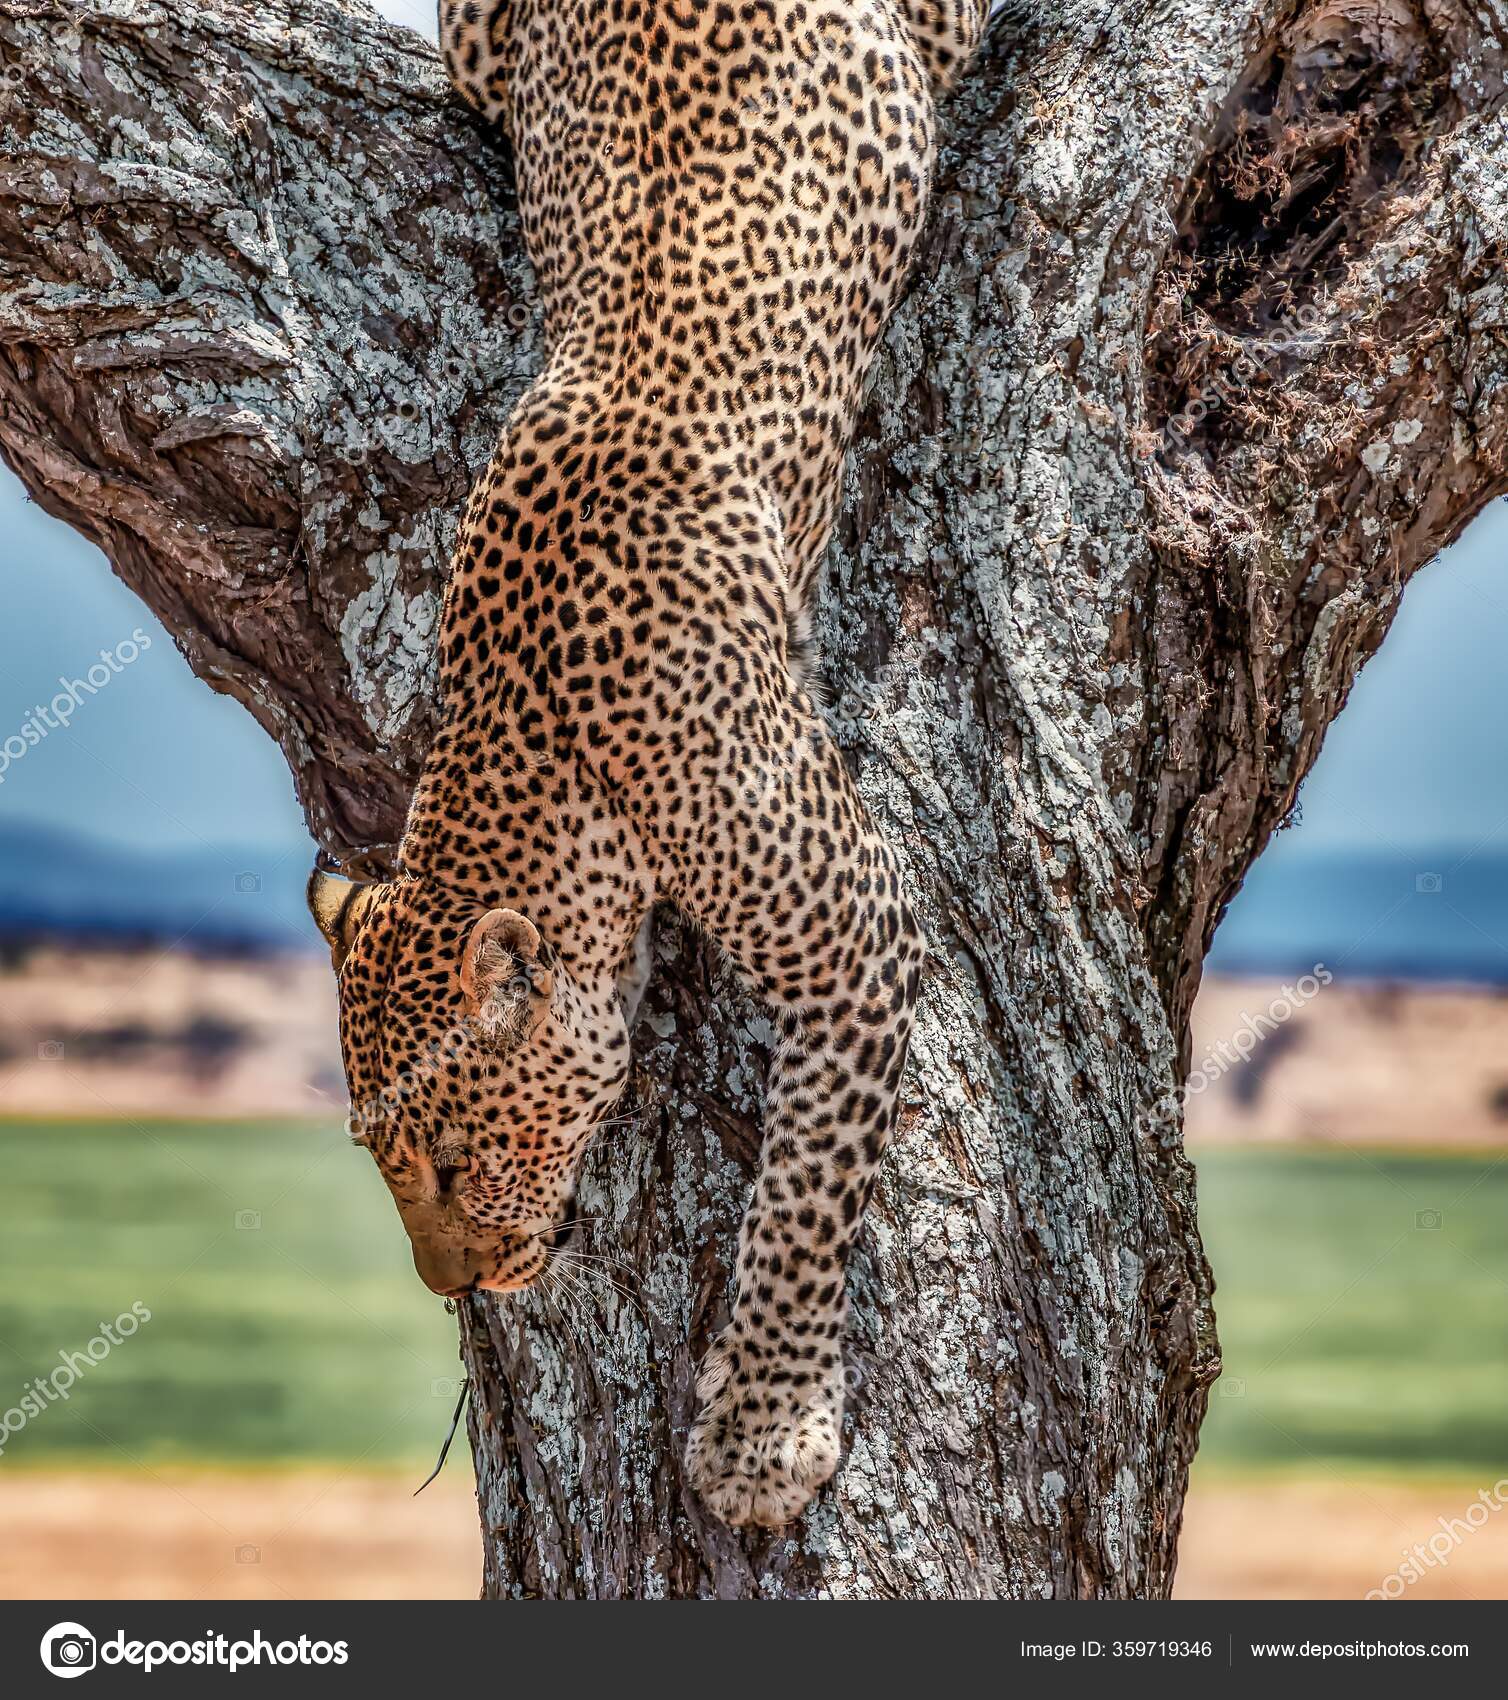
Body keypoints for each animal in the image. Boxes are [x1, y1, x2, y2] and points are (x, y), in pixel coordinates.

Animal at [308, 0, 991, 1529]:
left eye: (454, 1159)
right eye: (376, 1162)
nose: (450, 1285)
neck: (526, 743)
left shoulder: (850, 921)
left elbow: (807, 1184)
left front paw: (760, 1431)